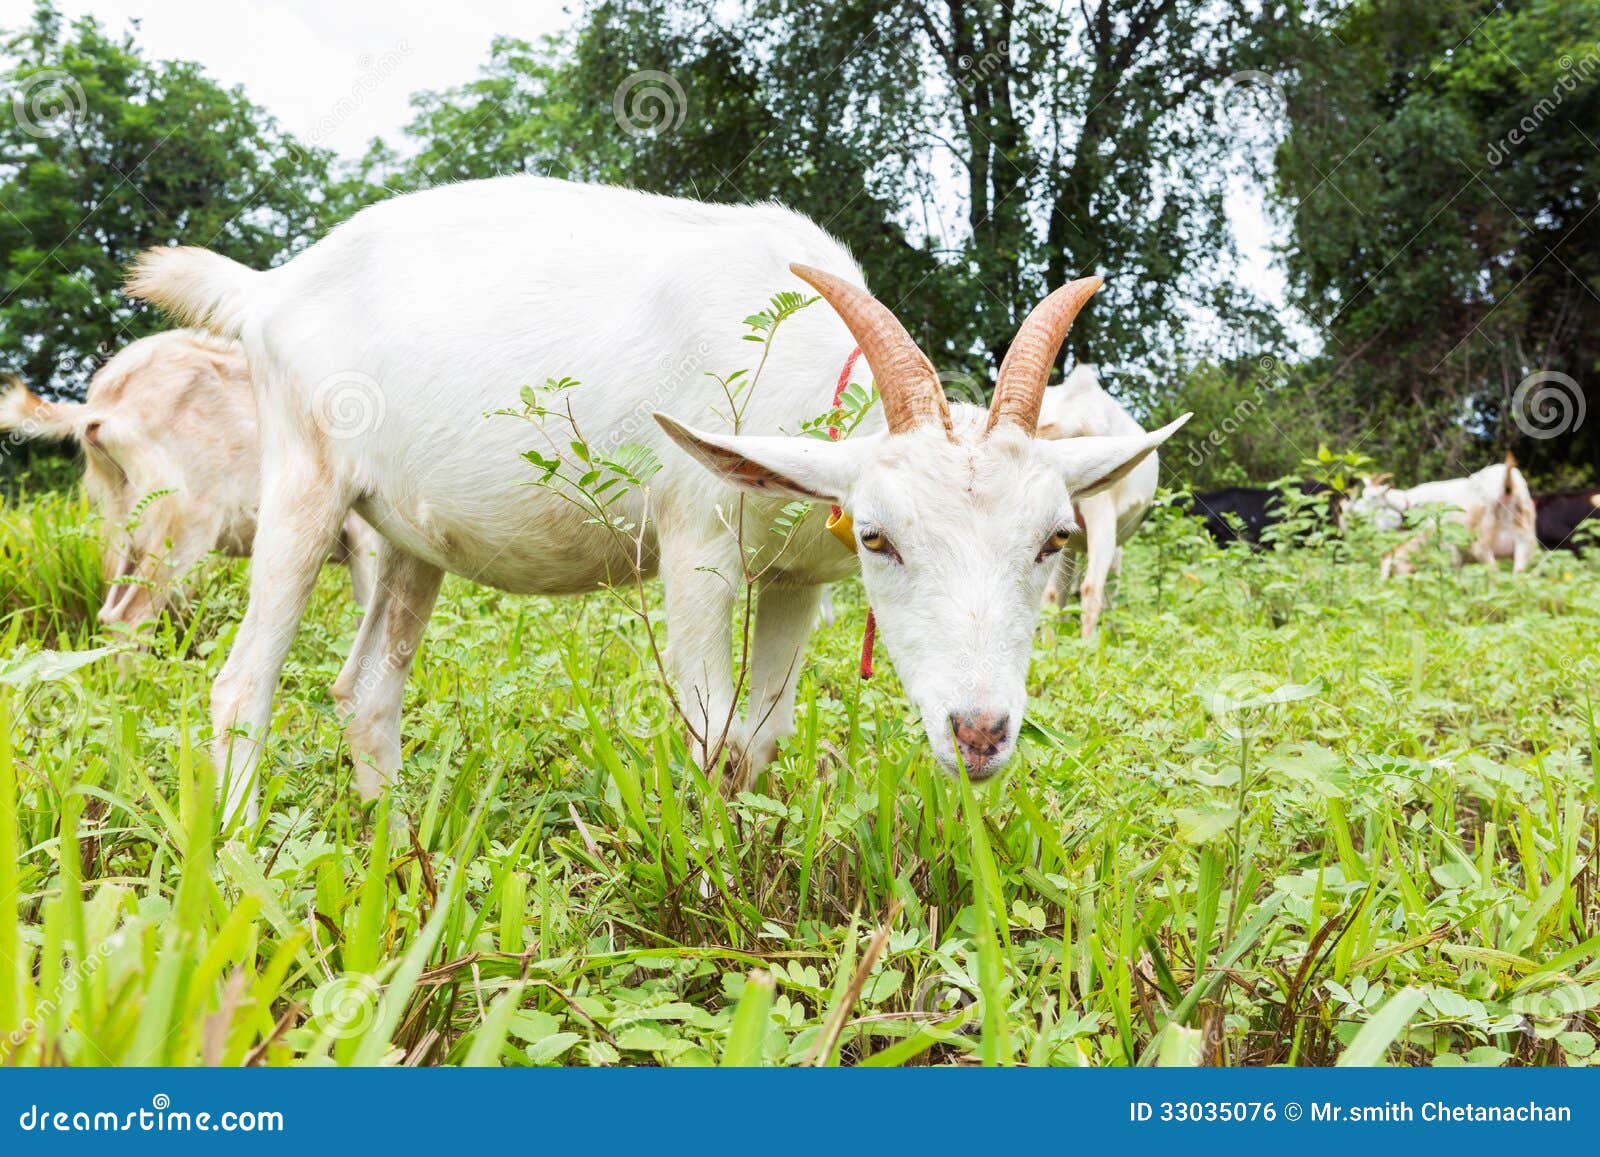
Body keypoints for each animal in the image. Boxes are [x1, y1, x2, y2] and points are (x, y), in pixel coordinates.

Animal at [1, 333, 378, 625]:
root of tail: (106, 401)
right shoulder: (366, 536)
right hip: (183, 523)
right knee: (134, 613)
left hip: (132, 521)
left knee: (111, 611)